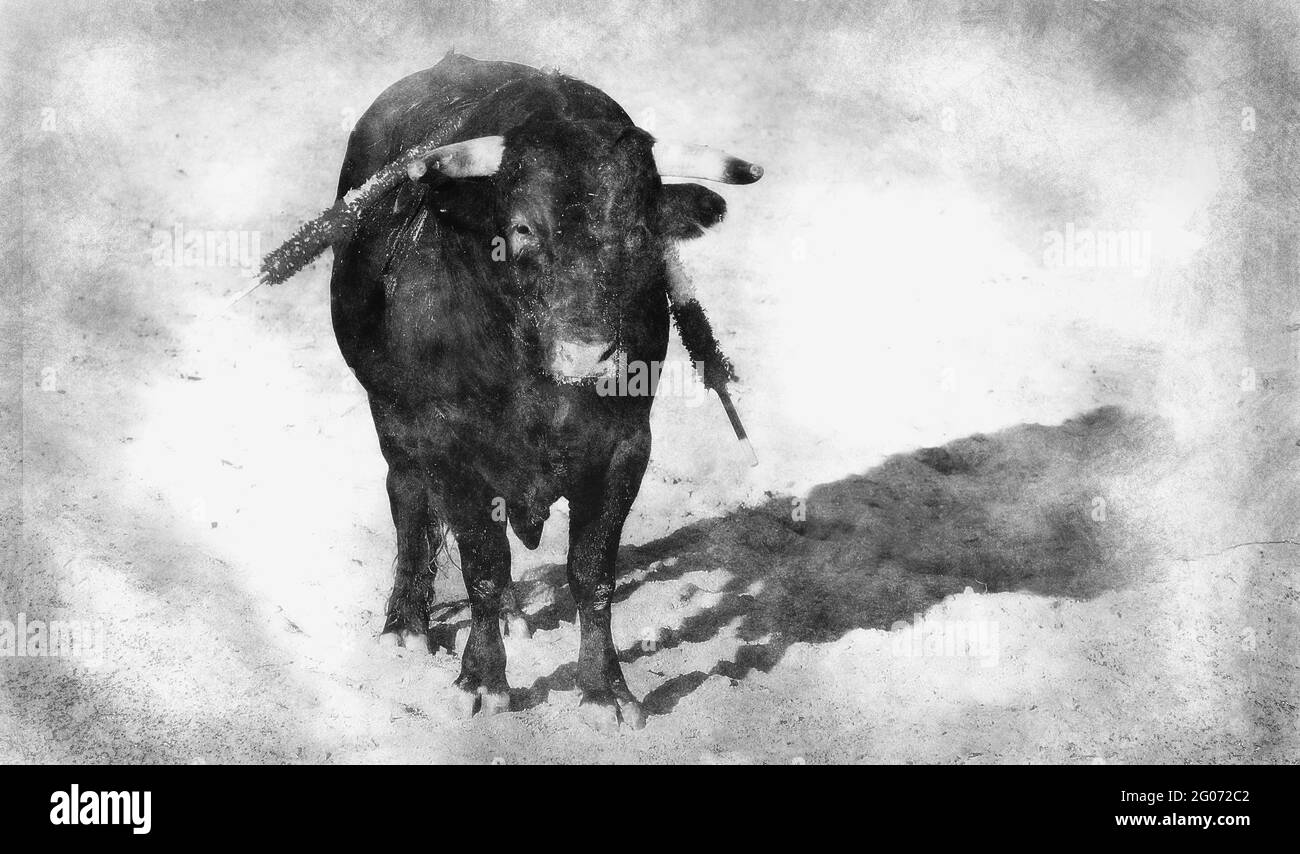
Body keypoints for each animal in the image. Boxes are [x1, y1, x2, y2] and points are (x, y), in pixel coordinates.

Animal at [261, 52, 762, 729]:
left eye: (640, 232)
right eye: (523, 229)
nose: (586, 355)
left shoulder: (626, 446)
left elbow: (592, 574)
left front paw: (606, 689)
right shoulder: (446, 444)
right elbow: (482, 565)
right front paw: (482, 679)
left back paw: (512, 617)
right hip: (391, 419)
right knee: (407, 497)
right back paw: (406, 622)